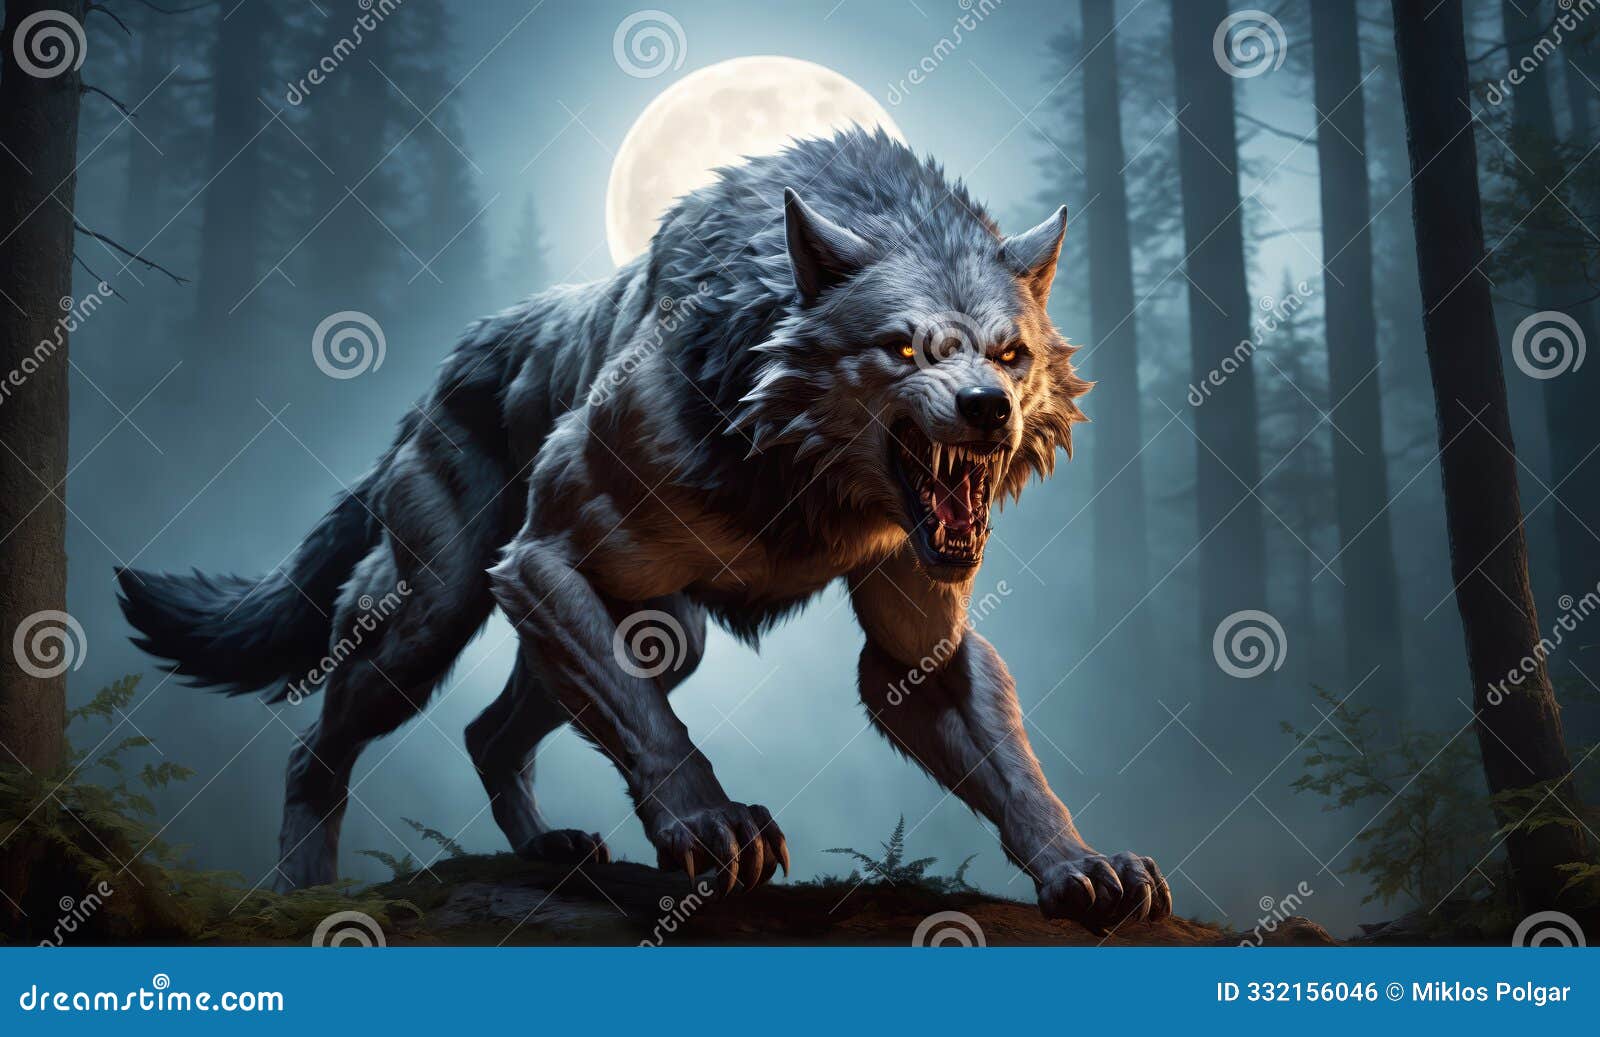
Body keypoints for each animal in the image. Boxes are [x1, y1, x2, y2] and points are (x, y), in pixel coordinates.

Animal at [117, 128, 1171, 929]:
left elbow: (1015, 772)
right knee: (318, 746)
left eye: (1010, 353)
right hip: (434, 618)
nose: (988, 408)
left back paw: (552, 849)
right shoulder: (541, 563)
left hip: (659, 628)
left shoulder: (919, 649)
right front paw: (711, 825)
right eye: (907, 348)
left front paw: (1080, 866)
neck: (795, 466)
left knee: (490, 732)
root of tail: (448, 367)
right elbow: (659, 734)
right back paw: (300, 896)